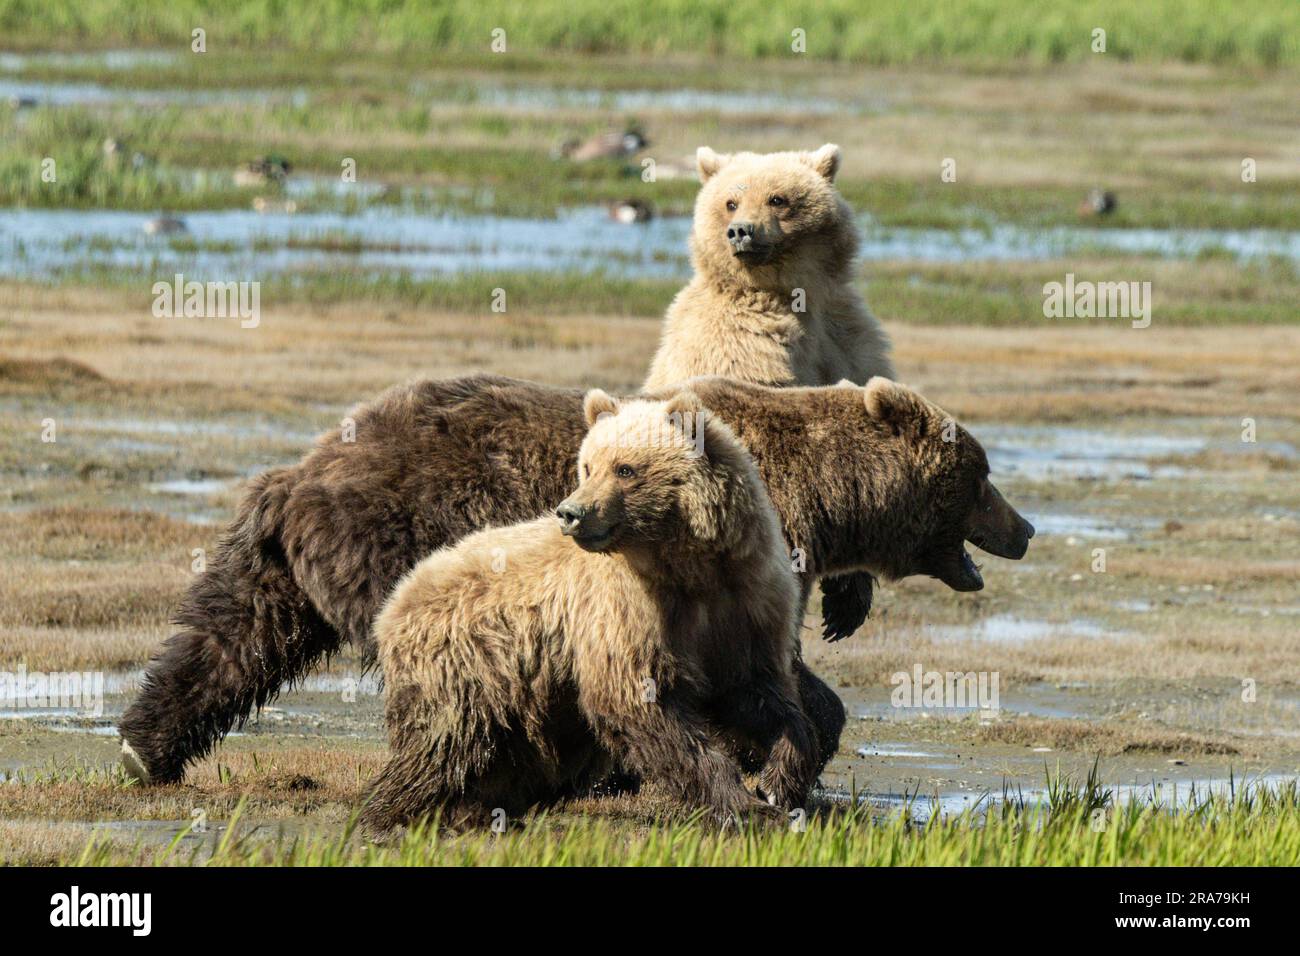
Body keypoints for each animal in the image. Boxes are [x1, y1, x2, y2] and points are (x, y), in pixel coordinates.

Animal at [119, 375, 1035, 787]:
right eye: (982, 473)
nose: (1024, 529)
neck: (823, 493)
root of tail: (300, 475)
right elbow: (763, 668)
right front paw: (777, 755)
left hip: (277, 566)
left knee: (229, 642)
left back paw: (143, 749)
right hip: (401, 543)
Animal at [361, 391, 819, 831]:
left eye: (625, 469)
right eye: (587, 465)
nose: (570, 513)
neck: (690, 566)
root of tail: (395, 599)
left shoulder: (745, 607)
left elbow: (765, 696)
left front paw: (778, 784)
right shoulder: (629, 611)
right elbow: (642, 701)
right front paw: (746, 808)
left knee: (515, 756)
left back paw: (478, 810)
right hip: (465, 660)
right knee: (444, 744)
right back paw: (393, 811)